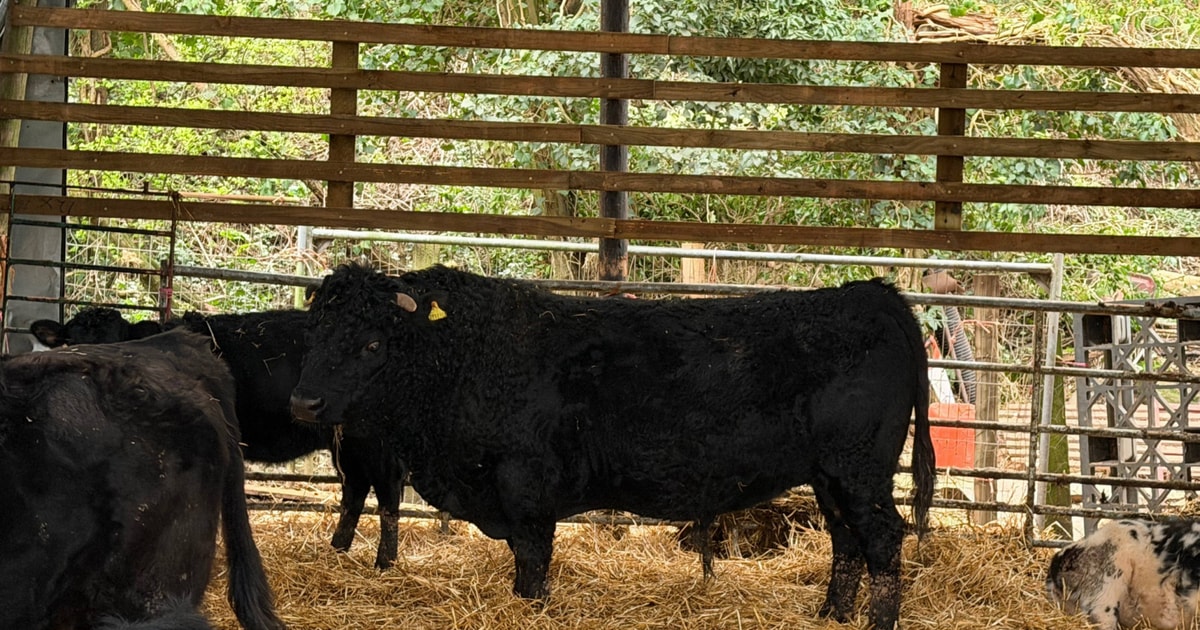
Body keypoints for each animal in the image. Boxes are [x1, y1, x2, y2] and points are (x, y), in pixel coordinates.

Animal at [31, 308, 407, 570]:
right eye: (73, 344)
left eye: (120, 343)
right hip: (346, 443)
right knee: (355, 489)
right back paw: (338, 549)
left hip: (373, 441)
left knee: (387, 493)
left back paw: (384, 563)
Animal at [289, 262, 936, 630]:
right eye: (315, 332)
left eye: (372, 344)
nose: (303, 402)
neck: (468, 356)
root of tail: (870, 294)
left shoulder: (526, 487)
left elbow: (532, 563)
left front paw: (529, 610)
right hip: (829, 475)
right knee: (846, 541)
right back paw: (831, 616)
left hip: (859, 469)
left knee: (882, 538)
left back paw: (876, 624)